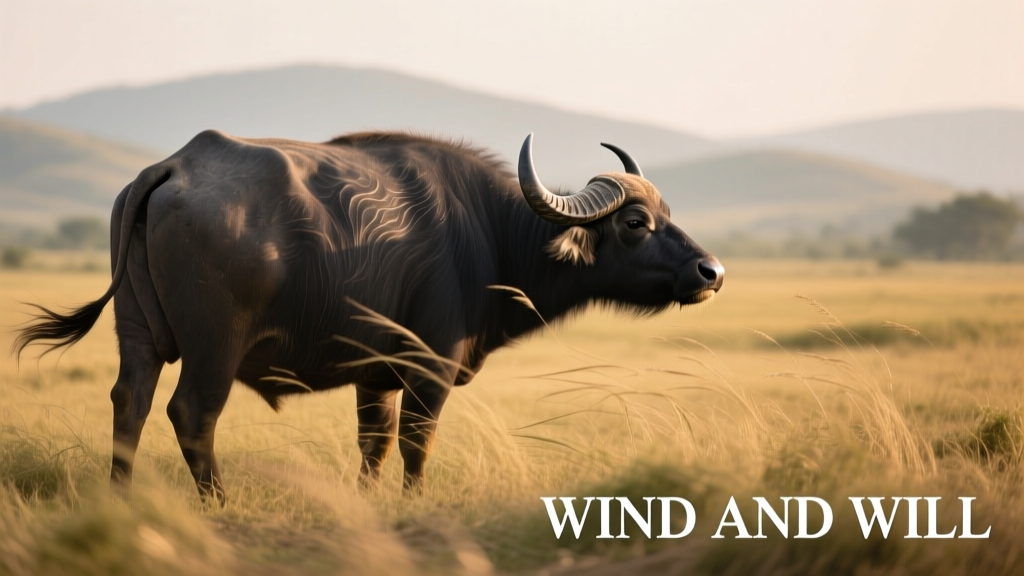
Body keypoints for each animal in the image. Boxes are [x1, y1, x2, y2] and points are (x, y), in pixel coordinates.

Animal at [15, 131, 724, 500]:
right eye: (635, 222)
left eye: (667, 213)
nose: (710, 272)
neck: (488, 232)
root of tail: (171, 166)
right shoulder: (428, 368)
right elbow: (415, 443)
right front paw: (414, 502)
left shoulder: (375, 375)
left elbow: (373, 444)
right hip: (214, 346)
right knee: (190, 414)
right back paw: (217, 501)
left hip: (136, 335)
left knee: (128, 403)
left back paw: (121, 496)